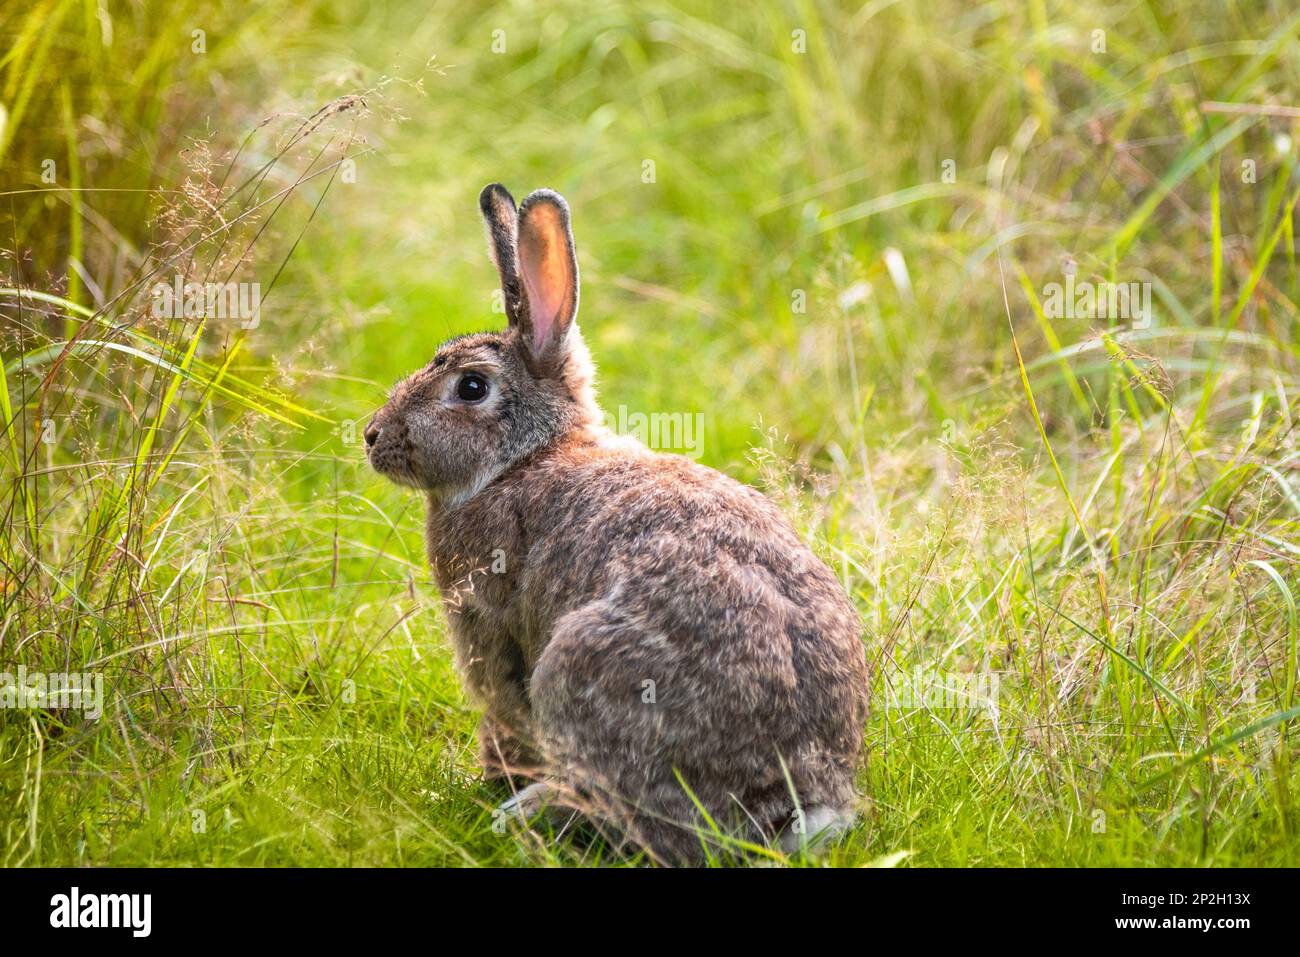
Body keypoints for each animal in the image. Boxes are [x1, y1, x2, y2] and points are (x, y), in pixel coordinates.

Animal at [365, 183, 869, 864]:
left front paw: (486, 781)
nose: (372, 437)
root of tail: (790, 803)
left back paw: (526, 812)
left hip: (579, 668)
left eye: (470, 387)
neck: (522, 459)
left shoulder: (487, 628)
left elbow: (502, 711)